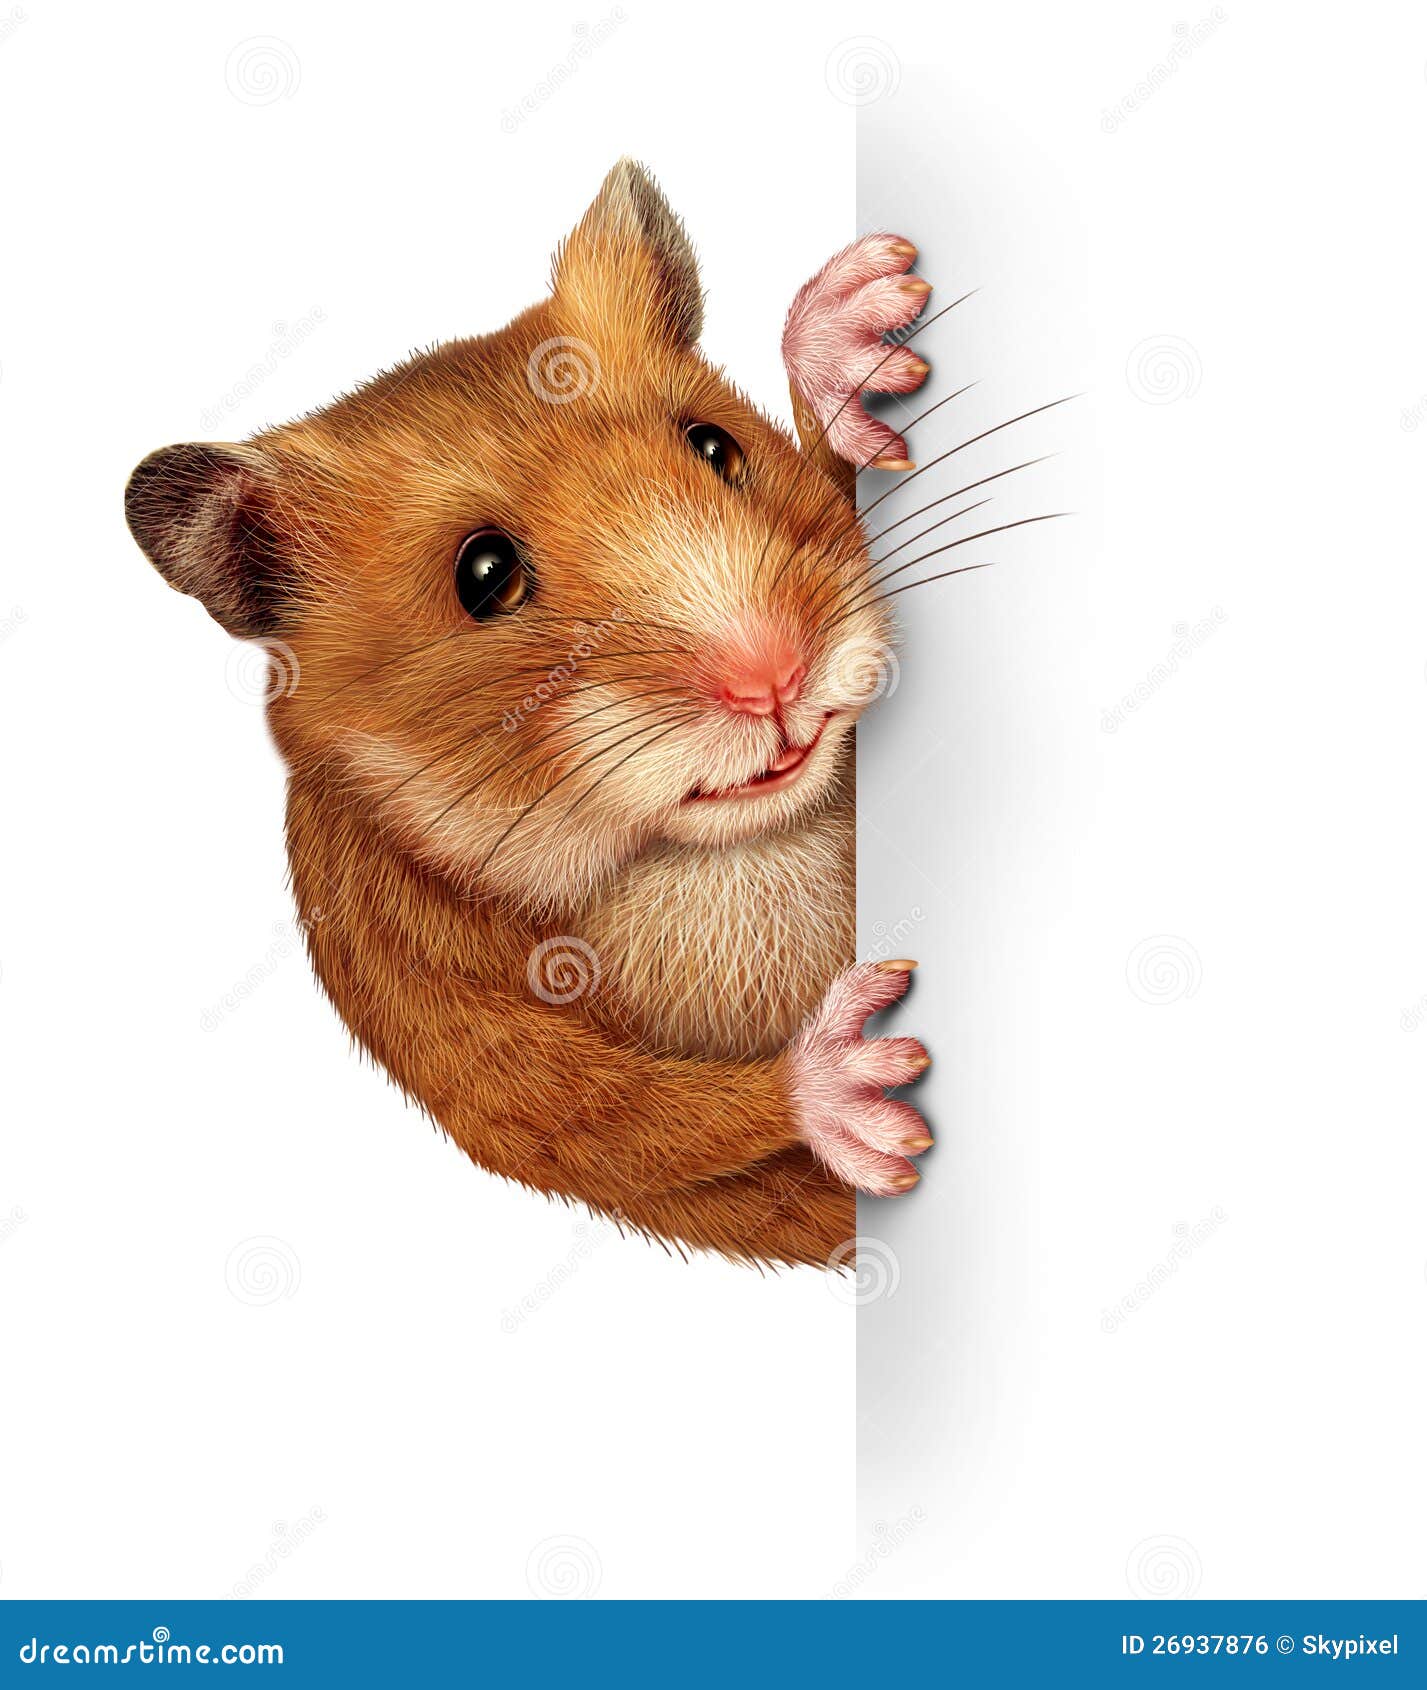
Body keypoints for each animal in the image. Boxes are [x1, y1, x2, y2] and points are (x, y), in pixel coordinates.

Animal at [125, 160, 934, 1268]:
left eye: (715, 445)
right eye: (483, 576)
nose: (774, 676)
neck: (711, 853)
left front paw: (865, 303)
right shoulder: (465, 1041)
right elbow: (635, 1116)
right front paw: (872, 1083)